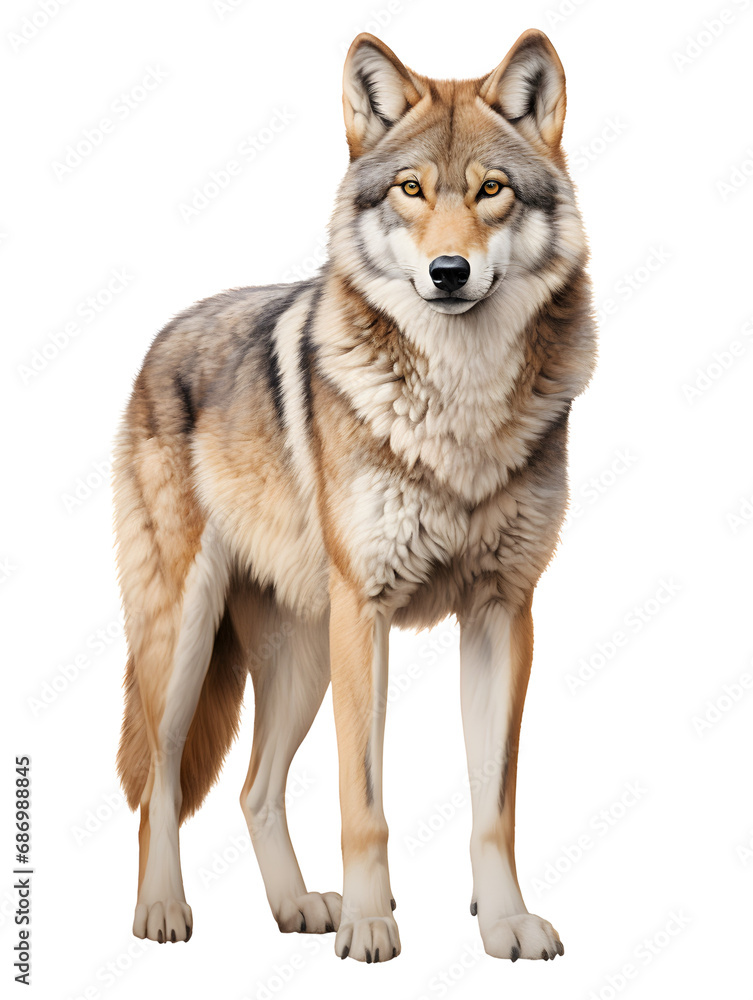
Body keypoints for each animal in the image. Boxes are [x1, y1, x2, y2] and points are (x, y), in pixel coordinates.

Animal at [114, 28, 596, 962]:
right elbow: (362, 800)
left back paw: (299, 907)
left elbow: (495, 806)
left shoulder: (502, 613)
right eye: (410, 189)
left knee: (254, 789)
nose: (449, 272)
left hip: (302, 656)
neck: (459, 405)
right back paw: (161, 912)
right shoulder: (364, 611)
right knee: (159, 783)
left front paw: (505, 923)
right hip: (188, 641)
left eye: (490, 191)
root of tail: (163, 335)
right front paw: (373, 925)